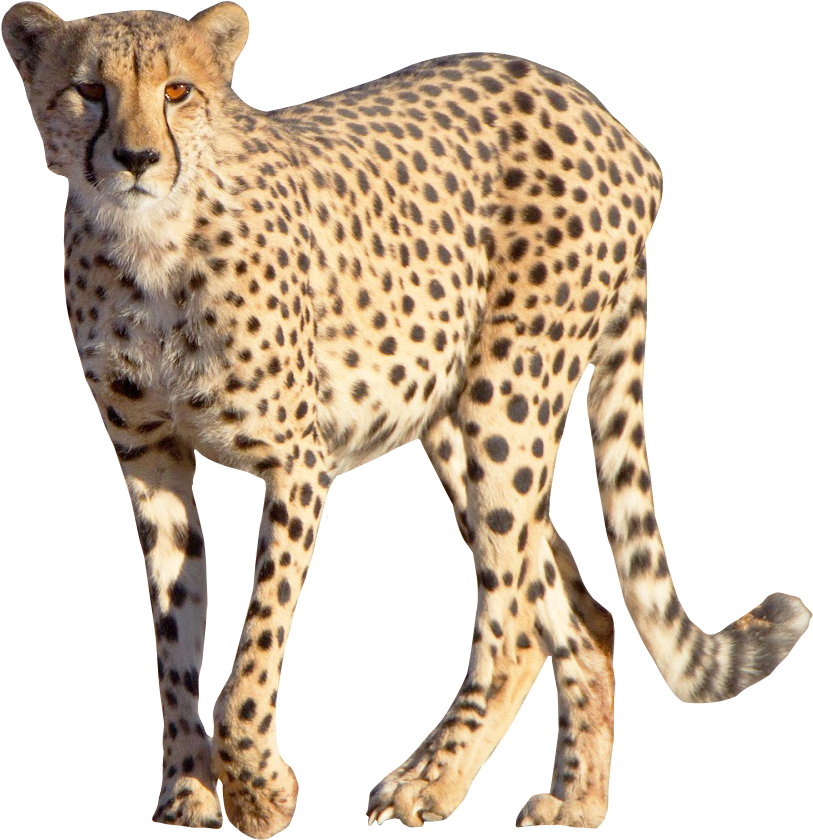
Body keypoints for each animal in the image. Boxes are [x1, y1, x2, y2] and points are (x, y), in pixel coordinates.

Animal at [4, 2, 810, 837]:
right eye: (88, 91)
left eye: (177, 90)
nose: (135, 158)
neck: (149, 245)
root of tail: (596, 111)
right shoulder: (150, 459)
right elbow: (173, 636)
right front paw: (188, 789)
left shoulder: (299, 460)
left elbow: (254, 649)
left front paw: (260, 793)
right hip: (449, 420)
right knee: (576, 611)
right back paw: (575, 801)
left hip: (508, 395)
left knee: (511, 613)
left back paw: (427, 782)